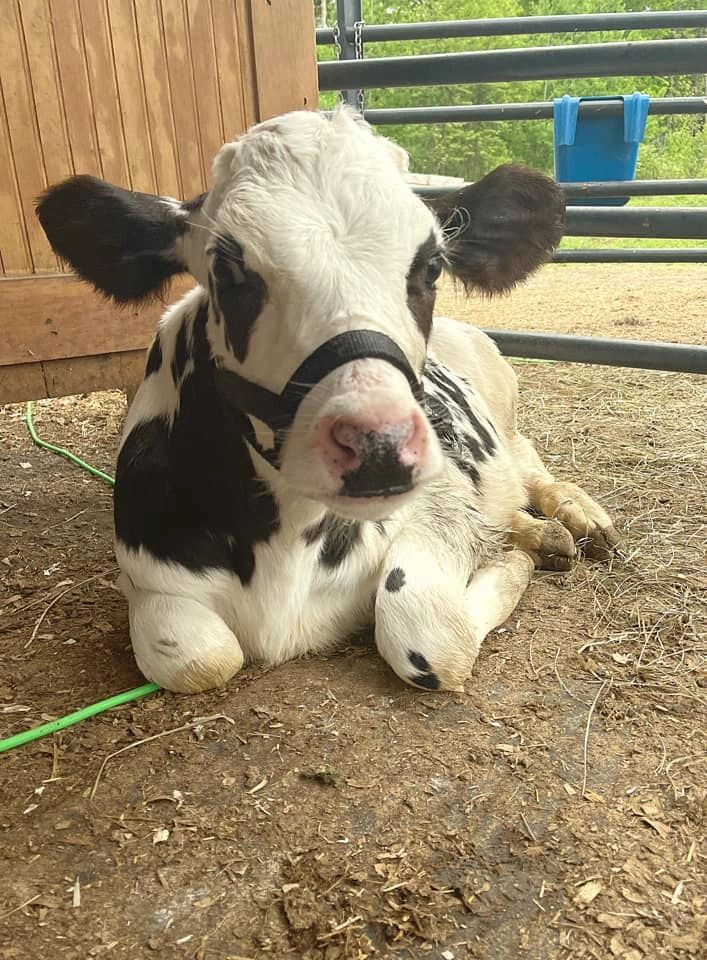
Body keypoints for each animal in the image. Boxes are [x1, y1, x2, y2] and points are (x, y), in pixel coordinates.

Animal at [37, 108, 619, 695]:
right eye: (227, 271)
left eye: (432, 265)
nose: (379, 445)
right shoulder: (146, 576)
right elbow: (199, 656)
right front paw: (519, 549)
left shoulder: (440, 504)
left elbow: (426, 628)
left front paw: (511, 565)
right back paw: (540, 535)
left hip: (504, 401)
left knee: (530, 465)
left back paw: (578, 517)